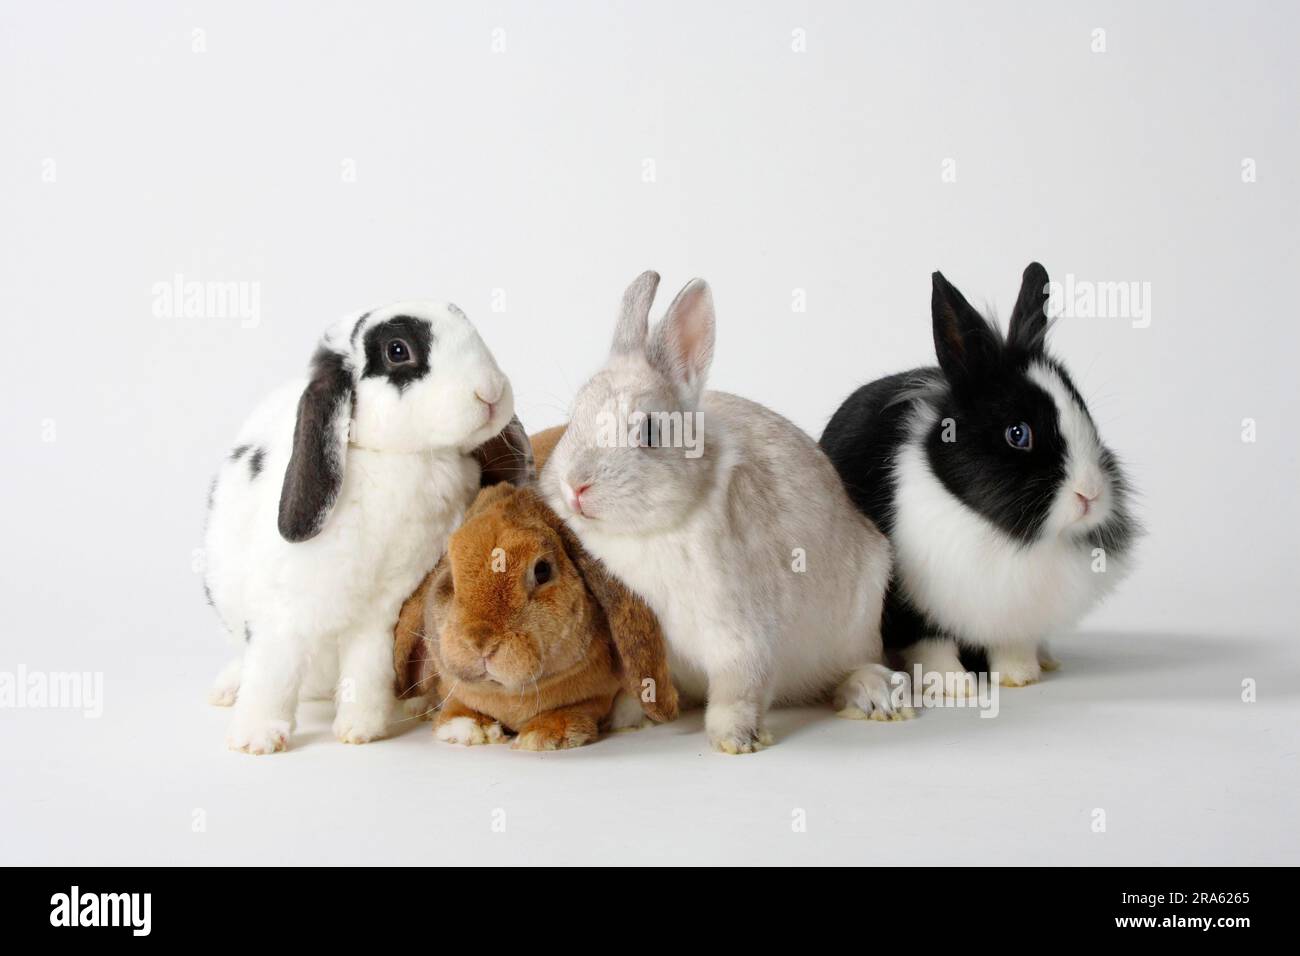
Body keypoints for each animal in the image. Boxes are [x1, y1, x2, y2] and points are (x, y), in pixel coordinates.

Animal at [203, 300, 516, 754]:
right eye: (398, 351)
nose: (491, 393)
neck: (397, 457)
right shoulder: (283, 612)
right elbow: (272, 672)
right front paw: (256, 739)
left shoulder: (381, 611)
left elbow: (366, 668)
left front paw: (360, 729)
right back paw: (226, 691)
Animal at [392, 474, 678, 751]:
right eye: (450, 577)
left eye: (542, 570)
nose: (480, 642)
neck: (508, 695)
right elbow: (458, 704)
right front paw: (467, 727)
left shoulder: (595, 697)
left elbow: (581, 707)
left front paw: (547, 734)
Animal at [540, 271, 908, 754]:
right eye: (573, 419)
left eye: (650, 431)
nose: (575, 486)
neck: (651, 530)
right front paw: (622, 717)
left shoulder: (743, 633)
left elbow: (741, 685)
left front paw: (737, 738)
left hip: (858, 621)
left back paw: (872, 692)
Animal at [820, 263, 1139, 693]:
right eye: (1017, 434)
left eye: (1085, 413)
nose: (1089, 494)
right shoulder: (913, 604)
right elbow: (930, 643)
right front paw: (951, 687)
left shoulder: (1011, 614)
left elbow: (1012, 643)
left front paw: (1020, 676)